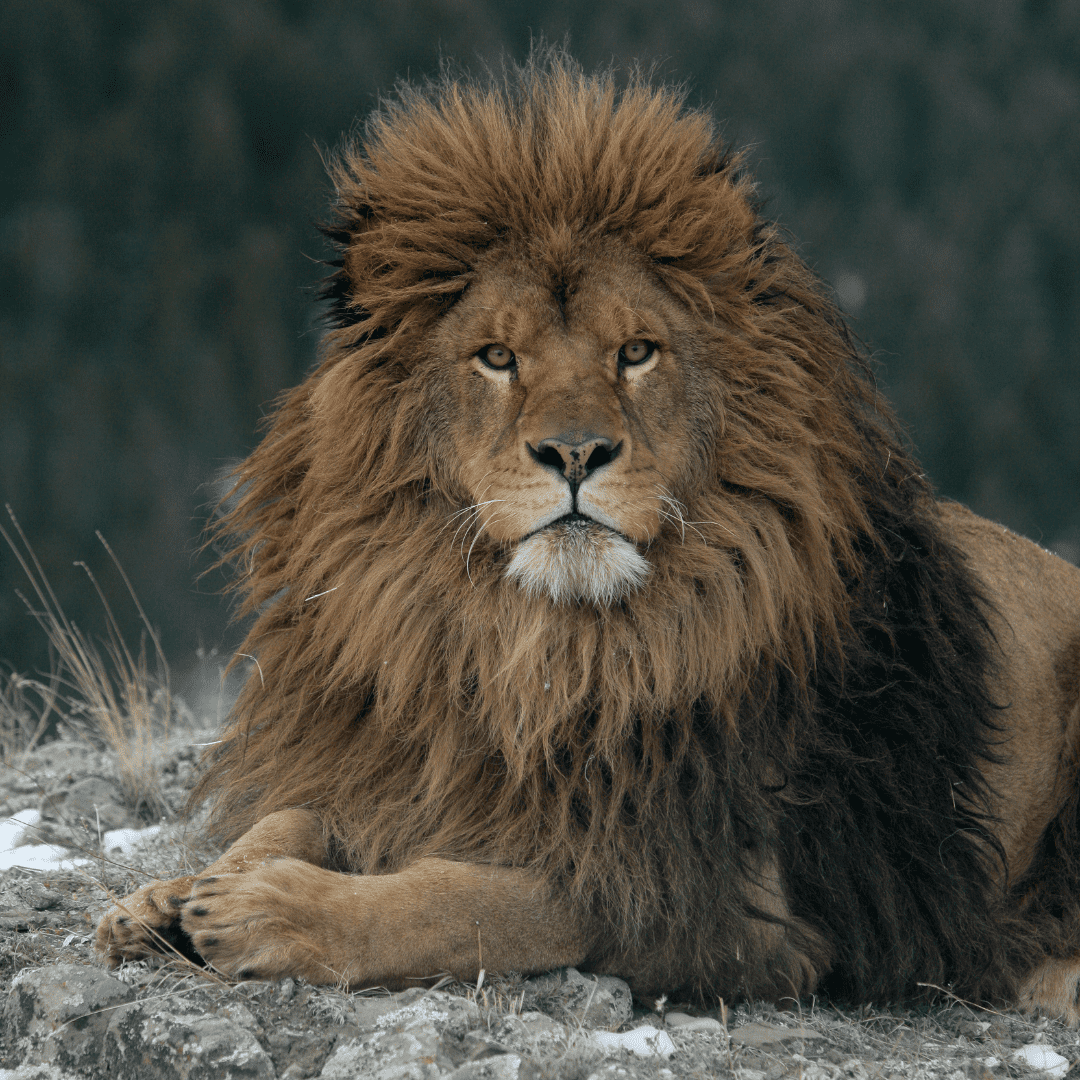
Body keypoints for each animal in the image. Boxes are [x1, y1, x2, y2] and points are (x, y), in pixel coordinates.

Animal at [96, 56, 1080, 1018]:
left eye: (636, 352)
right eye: (498, 358)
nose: (575, 451)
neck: (541, 650)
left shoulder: (730, 904)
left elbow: (473, 902)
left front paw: (265, 910)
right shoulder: (408, 764)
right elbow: (295, 815)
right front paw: (167, 898)